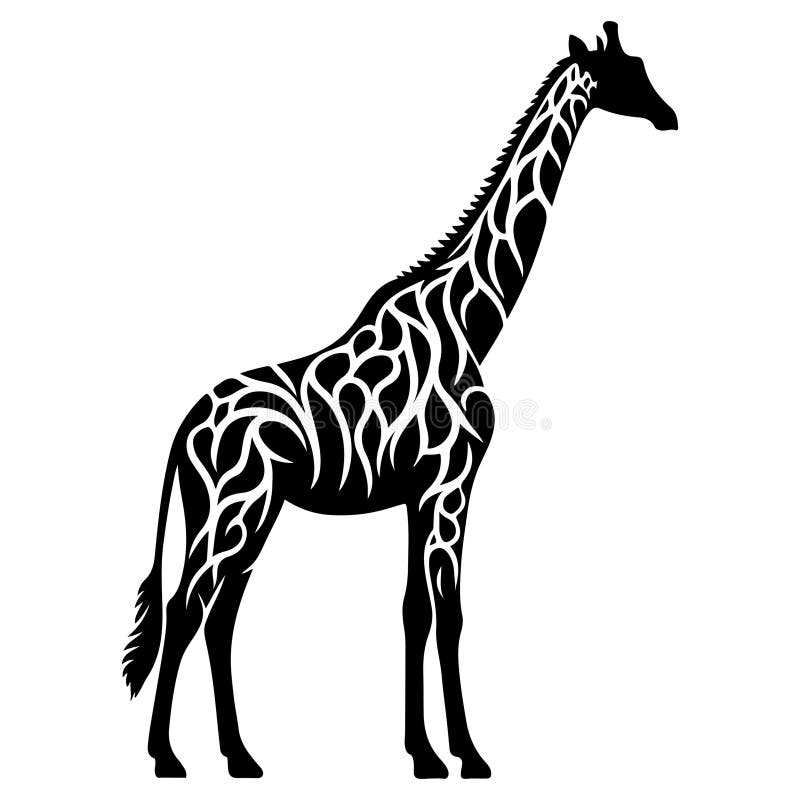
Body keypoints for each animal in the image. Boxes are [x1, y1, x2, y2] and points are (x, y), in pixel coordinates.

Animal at [124, 22, 677, 779]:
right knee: (187, 607)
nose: (669, 115)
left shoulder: (420, 491)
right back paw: (166, 757)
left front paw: (424, 753)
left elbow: (415, 609)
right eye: (630, 74)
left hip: (250, 511)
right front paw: (469, 755)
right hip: (235, 507)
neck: (470, 319)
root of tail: (184, 428)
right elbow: (450, 611)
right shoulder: (450, 484)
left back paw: (240, 756)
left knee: (221, 614)